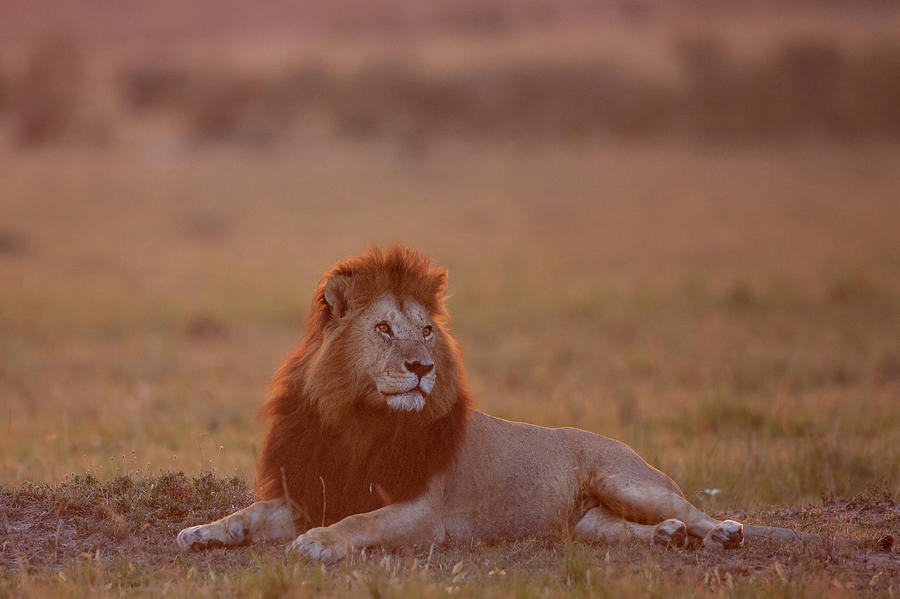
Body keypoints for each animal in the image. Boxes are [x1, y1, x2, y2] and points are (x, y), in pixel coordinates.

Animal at [177, 245, 817, 562]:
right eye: (384, 330)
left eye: (426, 331)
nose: (422, 368)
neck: (358, 420)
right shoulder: (313, 488)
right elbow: (247, 516)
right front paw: (201, 532)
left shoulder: (424, 511)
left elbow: (364, 521)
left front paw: (321, 543)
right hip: (589, 525)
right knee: (632, 530)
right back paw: (667, 540)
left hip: (629, 480)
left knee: (698, 511)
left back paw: (724, 535)